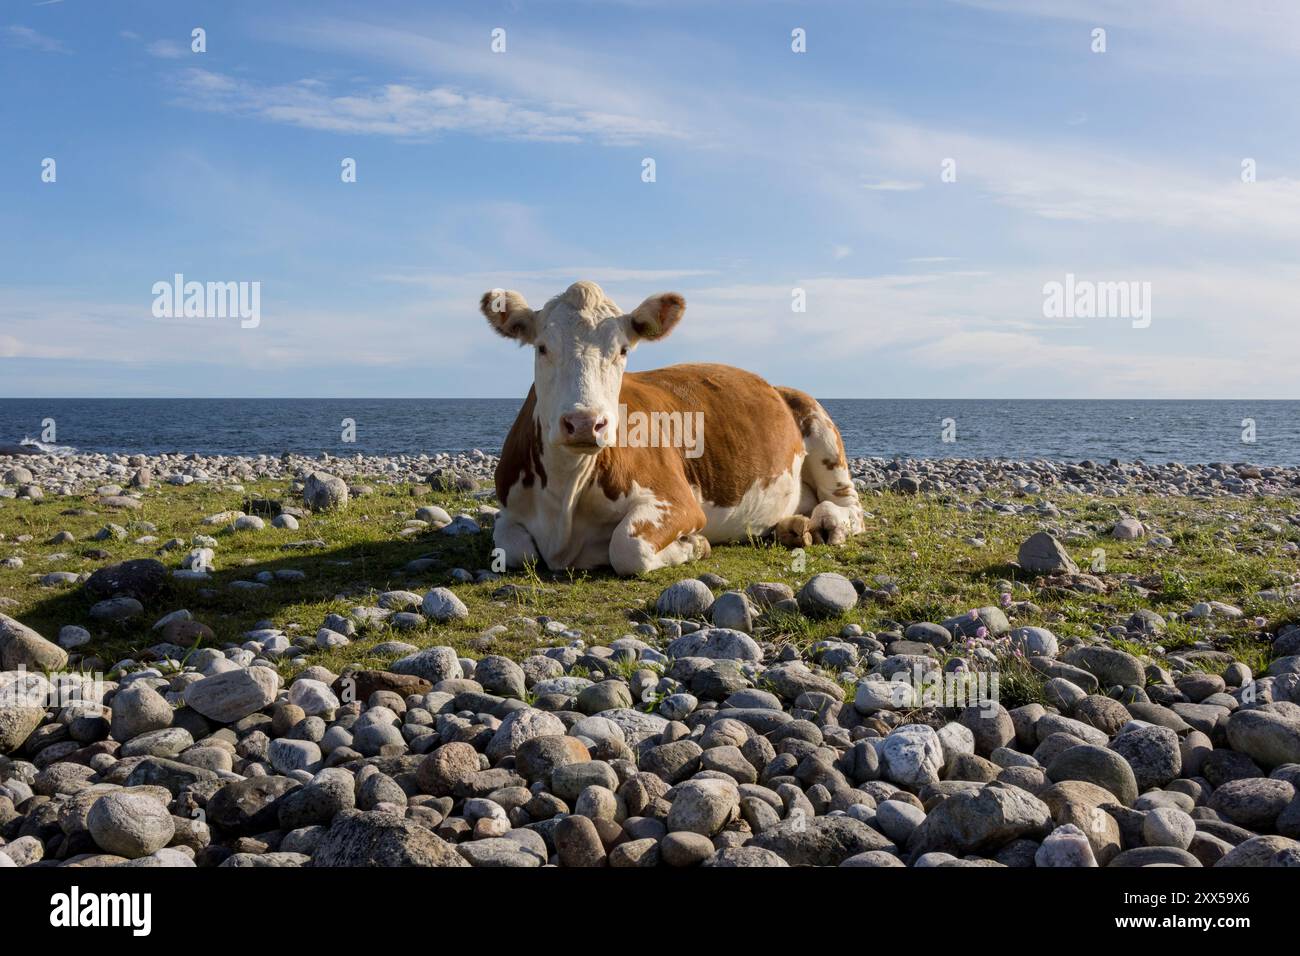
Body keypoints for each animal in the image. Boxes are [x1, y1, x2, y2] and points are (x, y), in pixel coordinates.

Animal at [482, 280, 863, 575]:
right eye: (543, 348)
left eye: (623, 350)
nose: (585, 423)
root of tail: (772, 384)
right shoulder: (509, 508)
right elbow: (514, 549)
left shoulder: (678, 502)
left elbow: (627, 547)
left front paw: (696, 545)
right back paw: (792, 527)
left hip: (819, 426)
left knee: (850, 509)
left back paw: (823, 524)